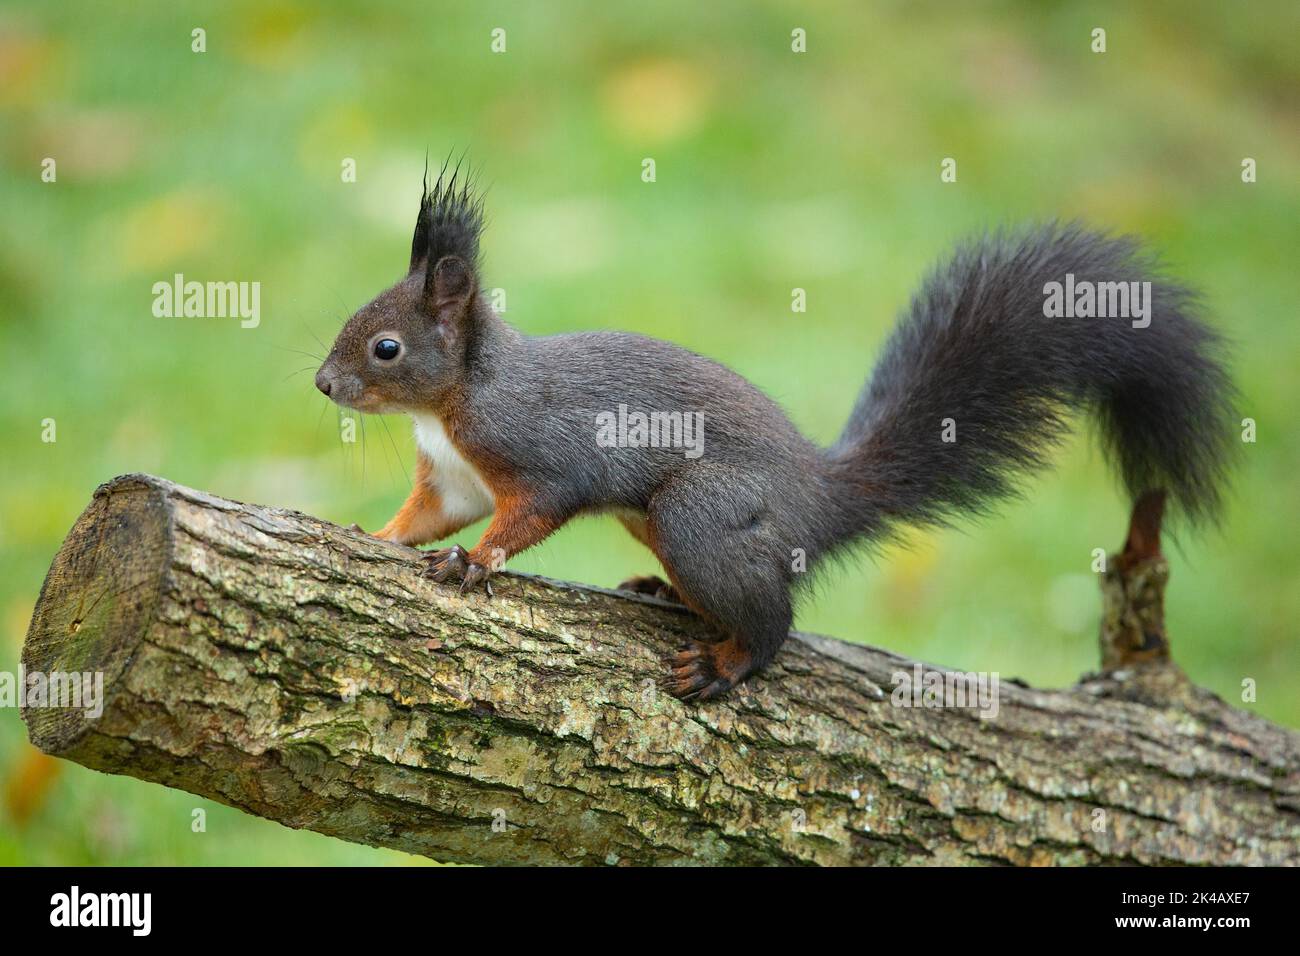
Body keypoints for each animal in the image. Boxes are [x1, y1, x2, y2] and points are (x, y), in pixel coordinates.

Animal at [315, 163, 1235, 701]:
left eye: (386, 347)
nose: (323, 383)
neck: (448, 405)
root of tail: (821, 499)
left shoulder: (540, 451)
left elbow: (529, 513)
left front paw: (474, 563)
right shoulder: (453, 476)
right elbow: (427, 516)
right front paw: (375, 536)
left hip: (702, 512)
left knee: (776, 624)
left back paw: (727, 660)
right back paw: (663, 594)